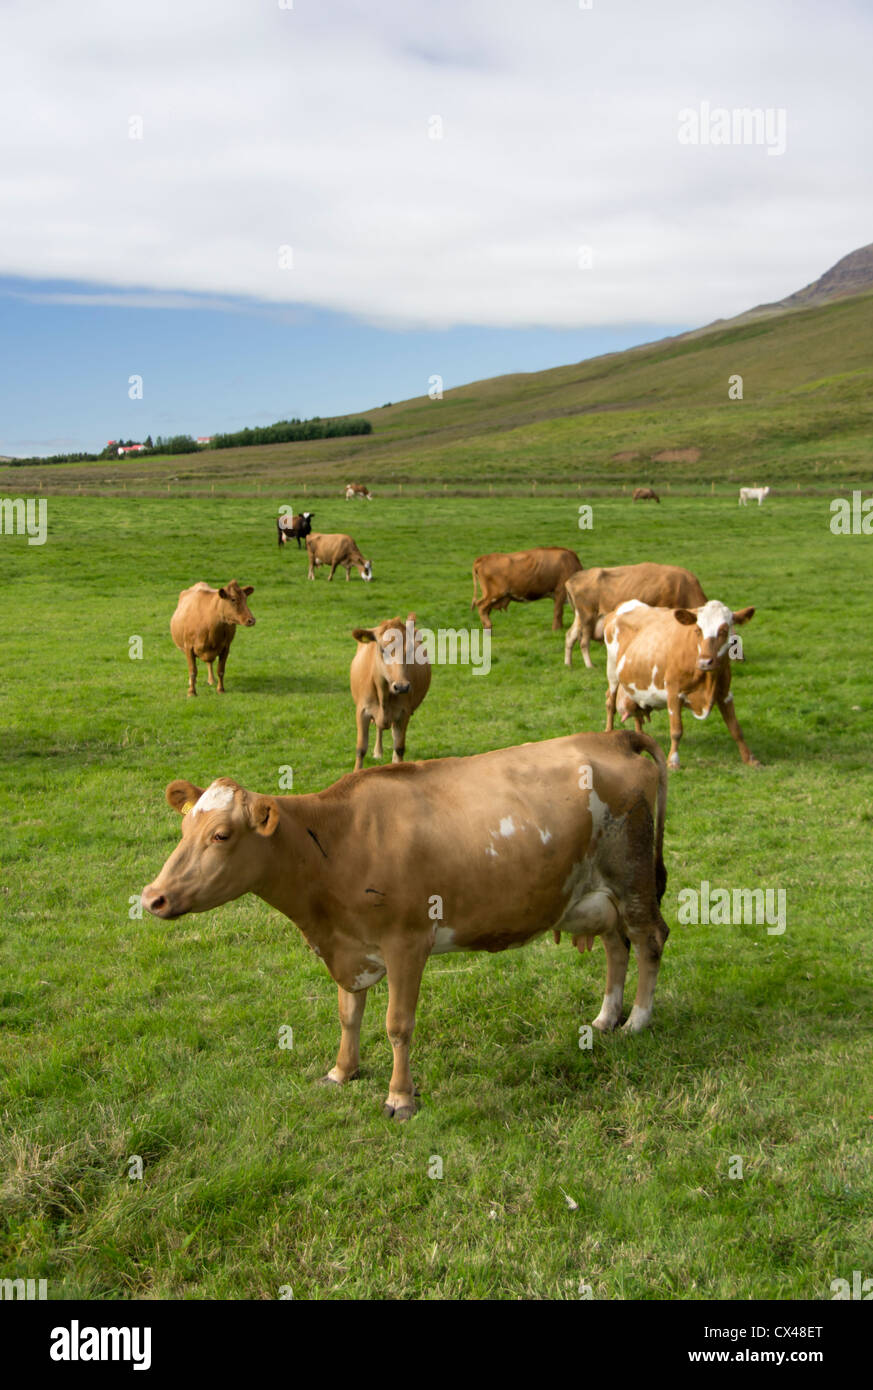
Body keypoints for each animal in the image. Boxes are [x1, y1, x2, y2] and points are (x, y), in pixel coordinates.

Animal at [141, 729, 669, 1118]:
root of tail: (612, 736)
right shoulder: (350, 948)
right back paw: (605, 1016)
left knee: (649, 941)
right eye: (184, 828)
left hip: (634, 881)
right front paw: (342, 1071)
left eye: (221, 834)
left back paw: (638, 1020)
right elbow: (348, 1014)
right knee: (616, 946)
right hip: (599, 895)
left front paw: (400, 1097)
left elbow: (398, 1024)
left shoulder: (407, 943)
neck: (339, 841)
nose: (152, 897)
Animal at [350, 614, 431, 770]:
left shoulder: (404, 712)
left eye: (411, 651)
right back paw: (377, 752)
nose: (402, 687)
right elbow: (360, 749)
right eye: (382, 650)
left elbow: (399, 747)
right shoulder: (362, 711)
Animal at [564, 562, 706, 669]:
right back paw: (589, 665)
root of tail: (573, 578)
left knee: (570, 635)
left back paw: (568, 664)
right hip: (588, 617)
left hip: (580, 616)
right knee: (583, 642)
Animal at [603, 599, 759, 769]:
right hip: (612, 672)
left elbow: (735, 728)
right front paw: (673, 761)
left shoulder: (725, 693)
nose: (705, 662)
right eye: (698, 630)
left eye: (724, 630)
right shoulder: (674, 692)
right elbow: (676, 730)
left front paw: (750, 758)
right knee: (610, 703)